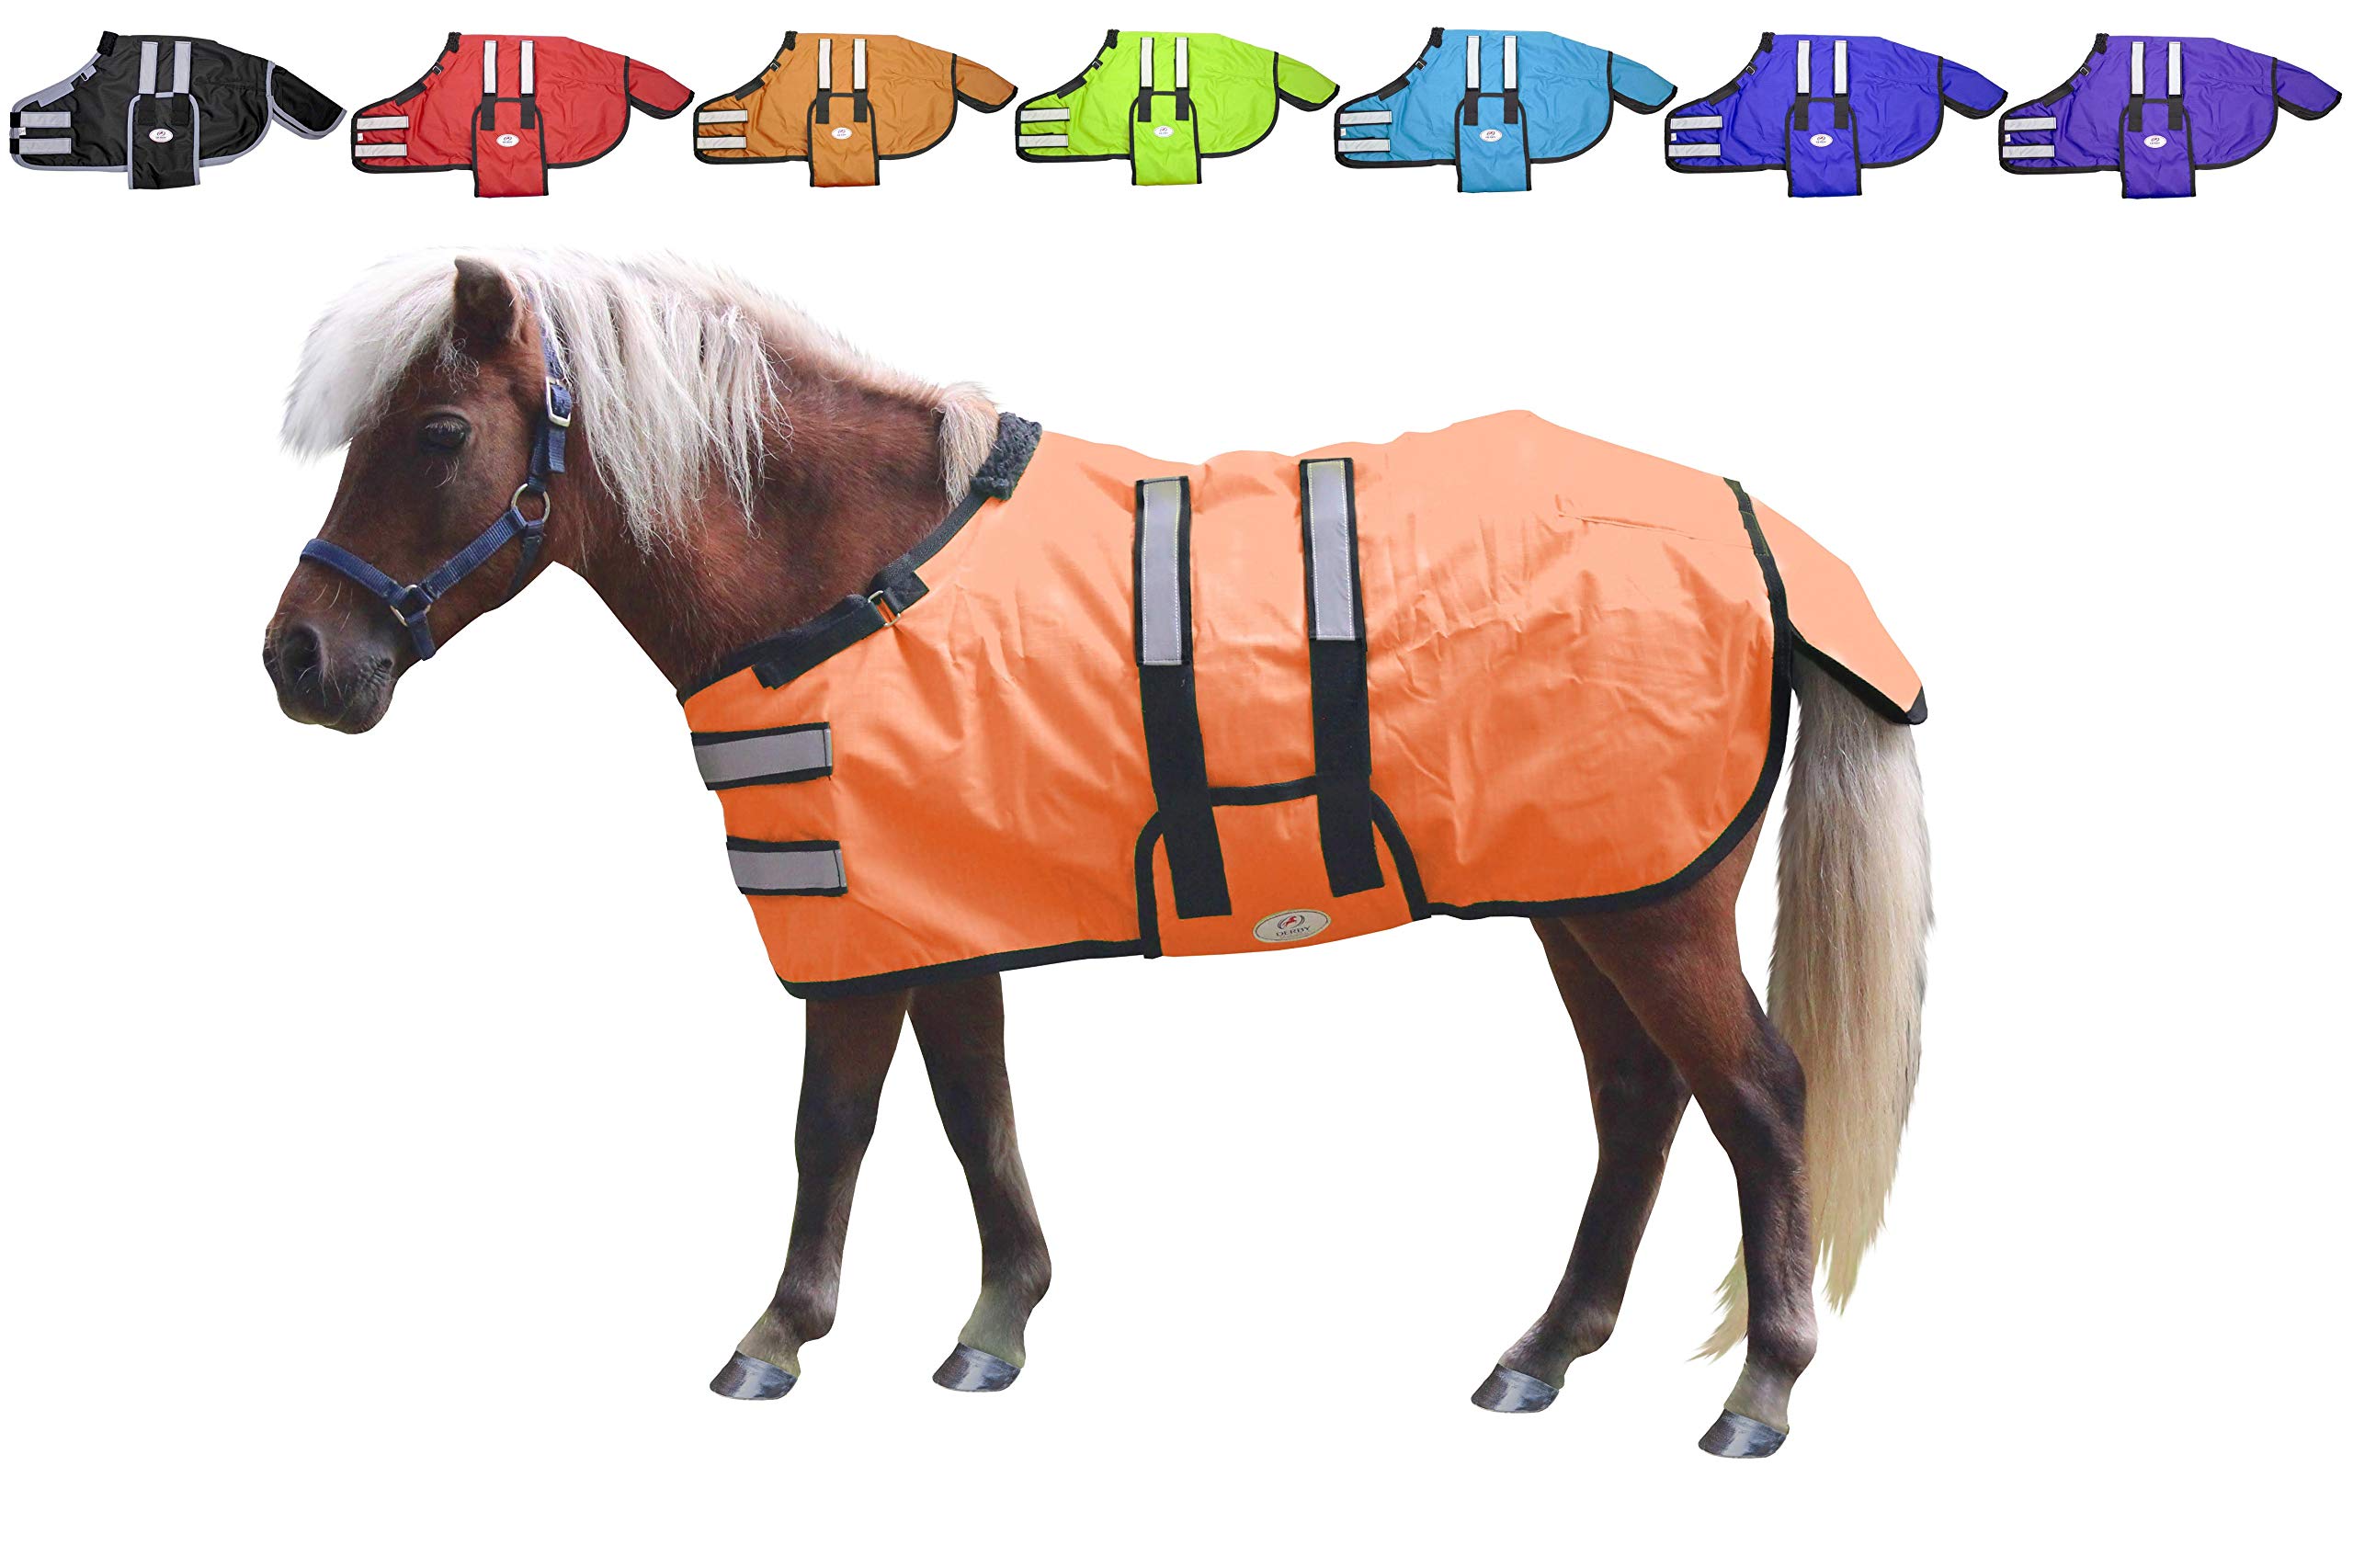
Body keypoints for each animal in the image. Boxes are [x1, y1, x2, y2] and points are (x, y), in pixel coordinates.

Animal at [262, 250, 1930, 1458]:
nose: (299, 659)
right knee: (1642, 1099)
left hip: (1655, 908)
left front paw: (777, 1336)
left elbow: (832, 1130)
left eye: (439, 432)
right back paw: (1543, 1353)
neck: (848, 571)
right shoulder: (942, 922)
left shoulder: (859, 937)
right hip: (1581, 895)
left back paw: (1761, 1391)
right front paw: (996, 1324)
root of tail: (1746, 525)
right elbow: (974, 1115)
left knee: (1760, 1100)